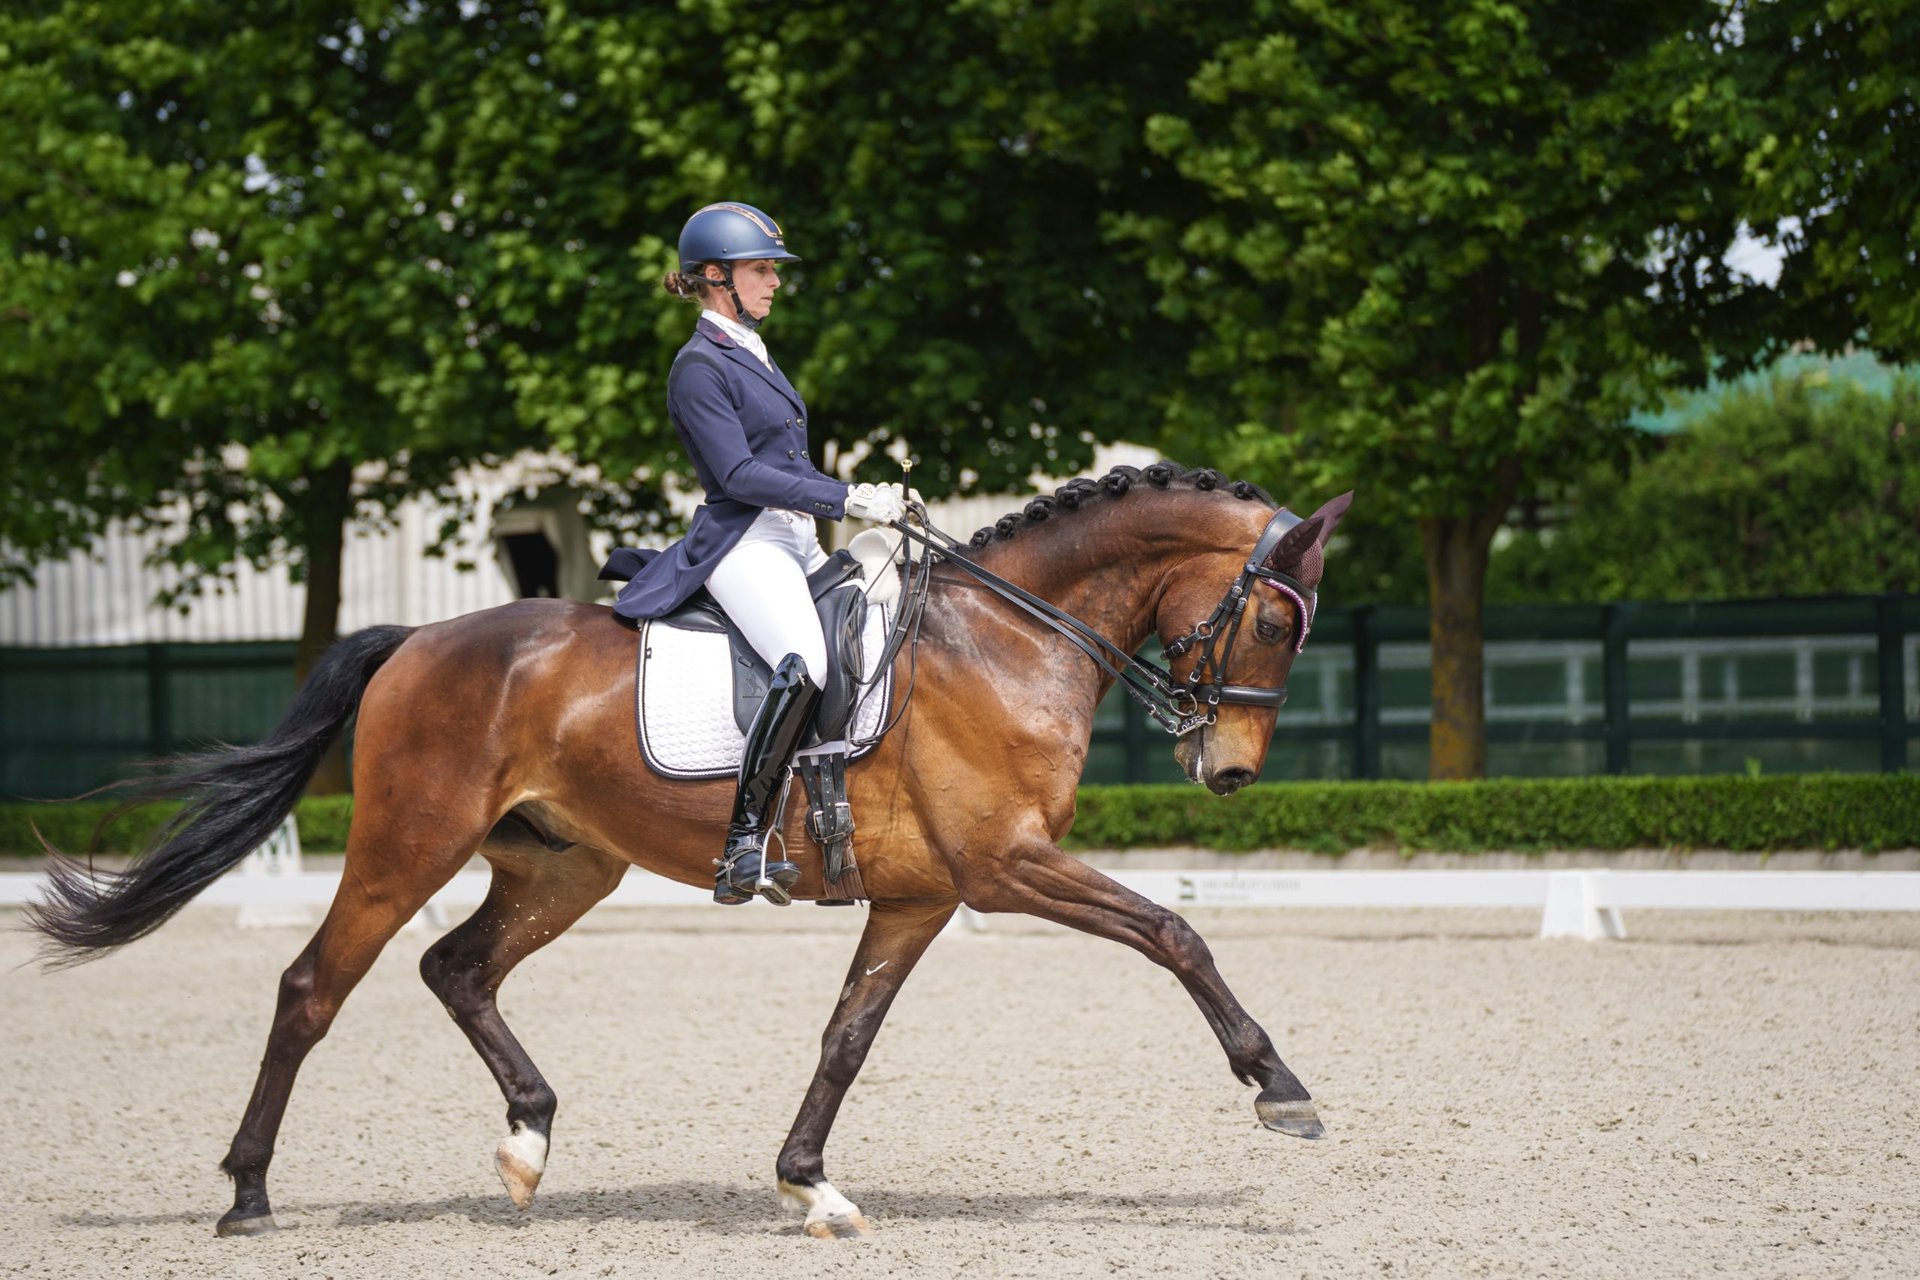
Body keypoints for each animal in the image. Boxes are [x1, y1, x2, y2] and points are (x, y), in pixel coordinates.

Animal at [27, 461, 1352, 1240]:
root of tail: (417, 640)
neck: (1007, 637)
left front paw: (809, 1178)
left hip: (563, 863)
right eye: (1277, 617)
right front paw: (1280, 1086)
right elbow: (1174, 930)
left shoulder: (924, 896)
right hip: (411, 841)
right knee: (314, 984)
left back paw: (527, 1140)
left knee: (457, 967)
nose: (1229, 772)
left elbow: (847, 1036)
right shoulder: (1004, 866)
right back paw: (248, 1194)